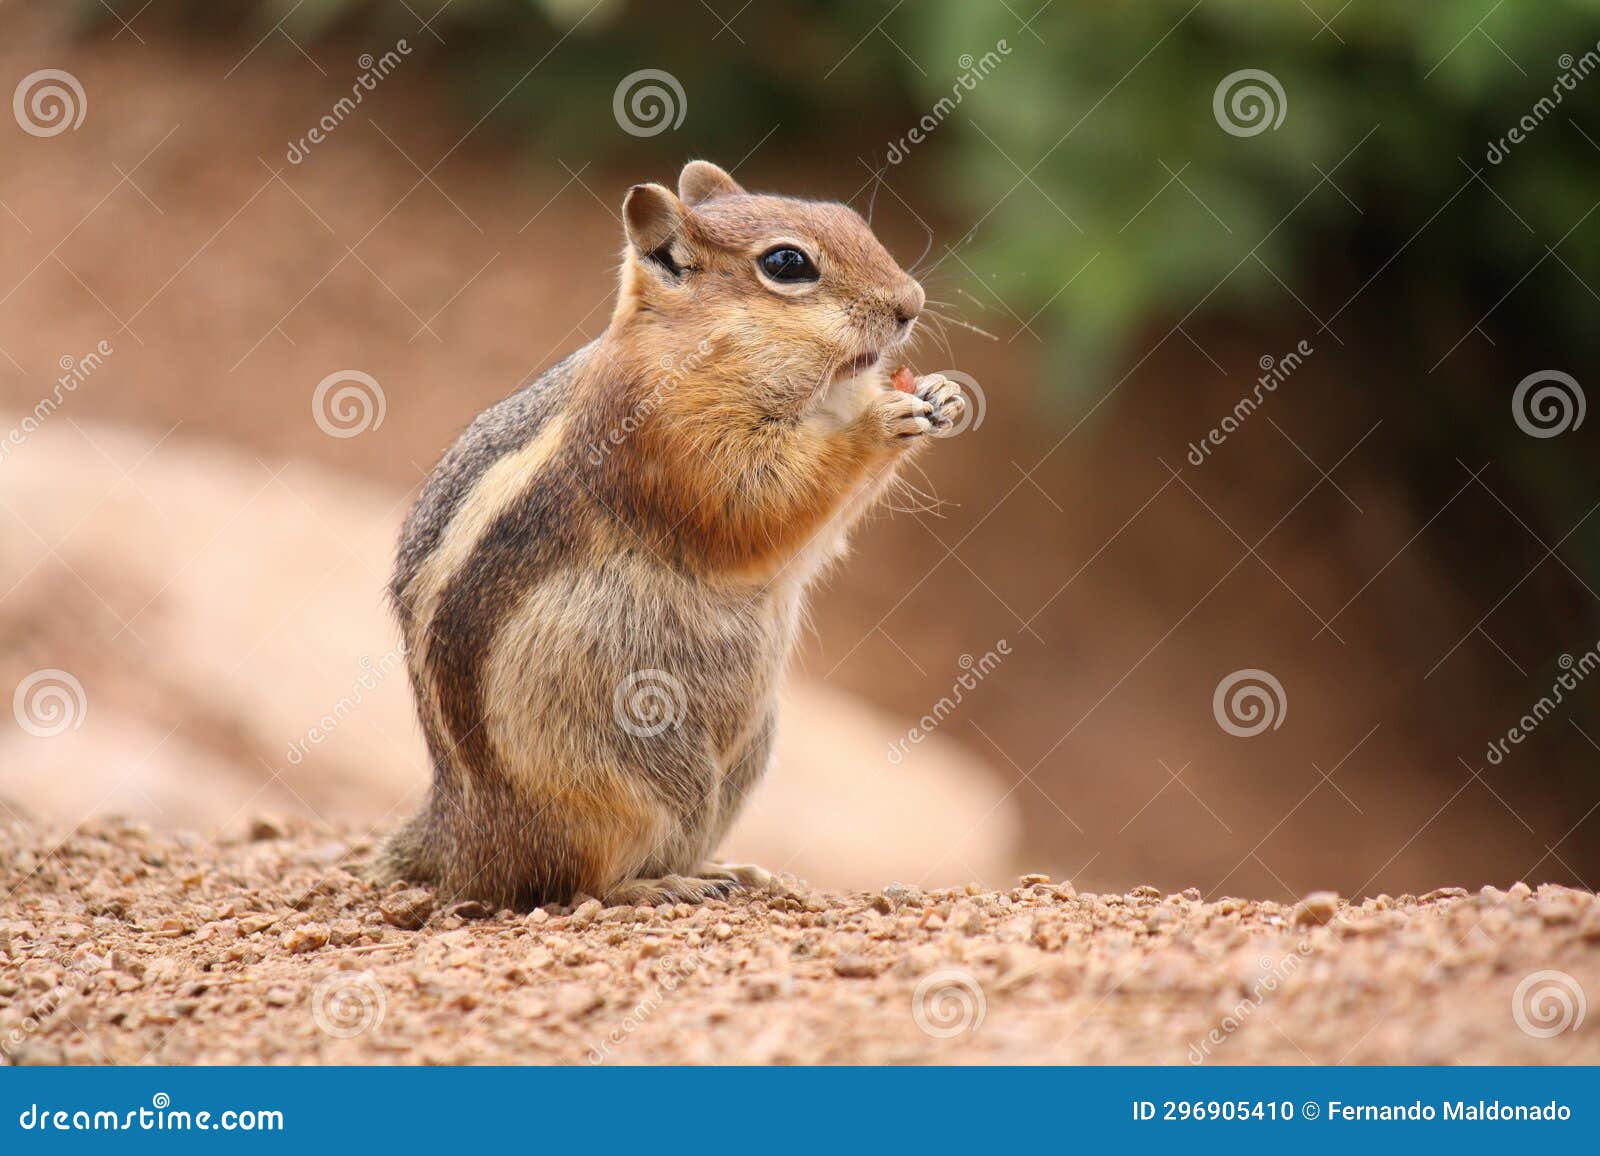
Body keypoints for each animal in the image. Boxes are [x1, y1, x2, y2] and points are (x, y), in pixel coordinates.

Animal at [377, 160, 965, 910]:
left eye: (849, 217)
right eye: (787, 264)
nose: (910, 303)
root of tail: (459, 839)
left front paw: (942, 394)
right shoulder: (667, 435)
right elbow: (760, 505)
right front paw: (877, 420)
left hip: (742, 762)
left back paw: (724, 870)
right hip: (610, 783)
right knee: (580, 881)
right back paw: (654, 886)